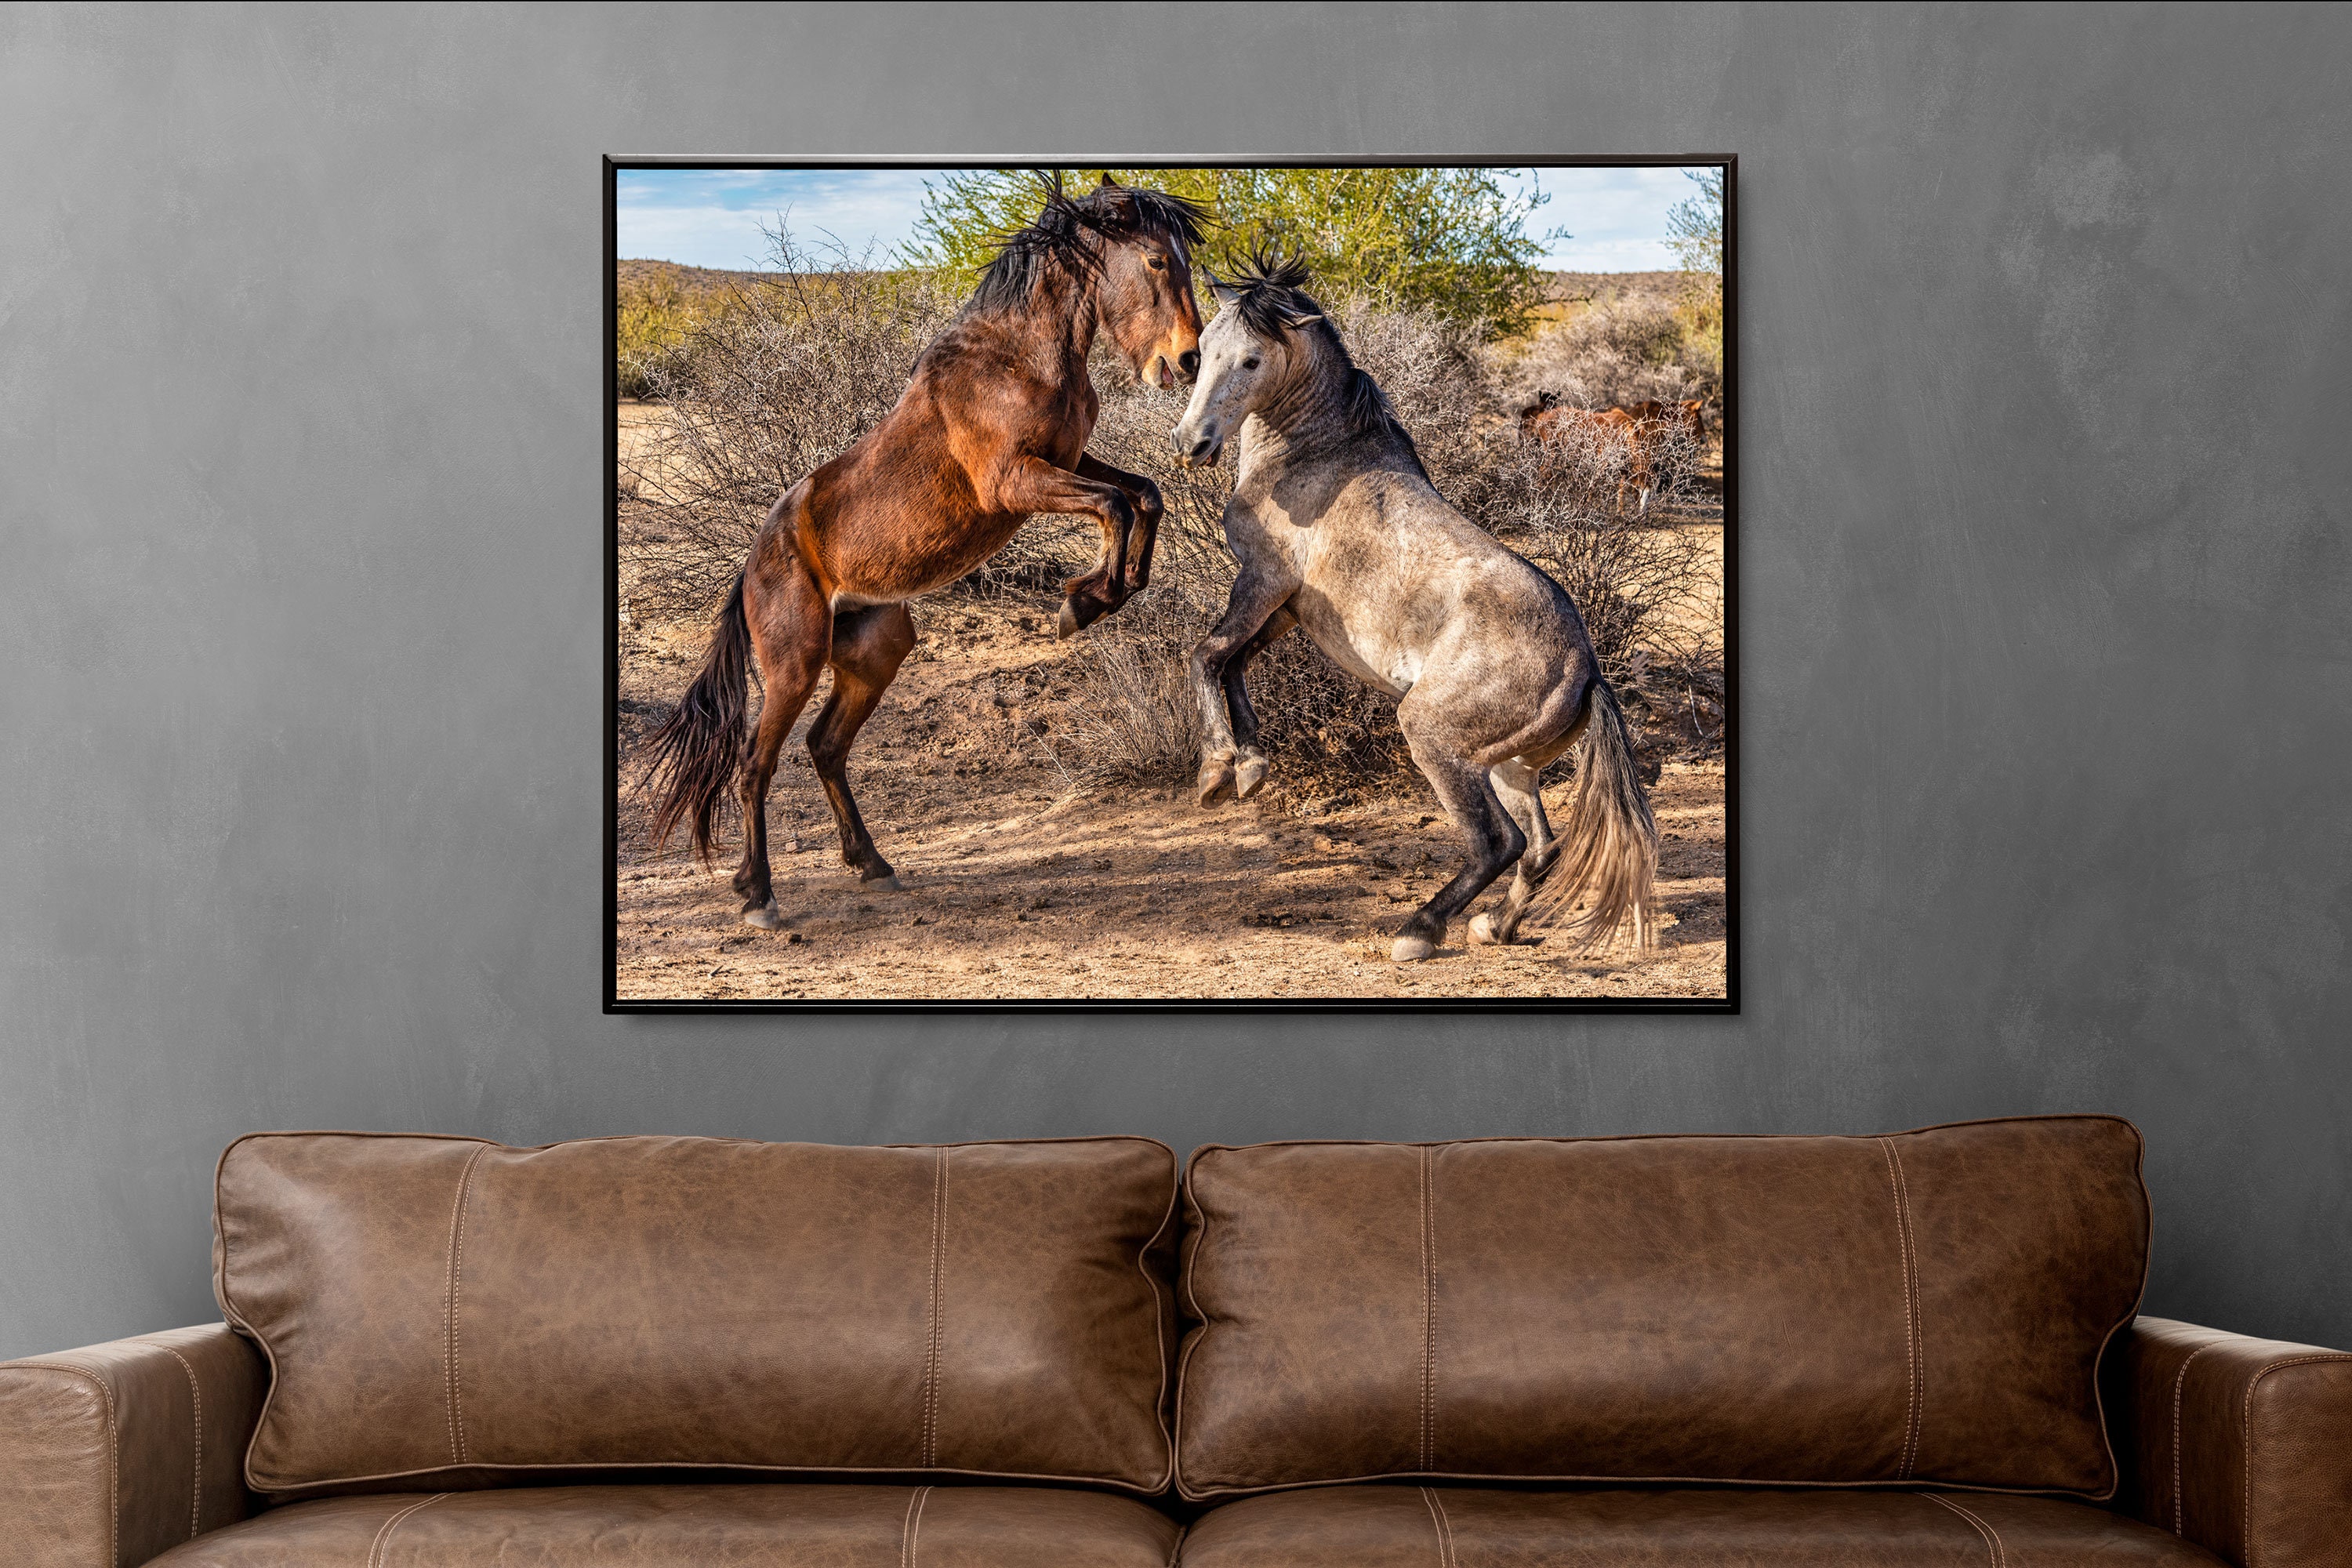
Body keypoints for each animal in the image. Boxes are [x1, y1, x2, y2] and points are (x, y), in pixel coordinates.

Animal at [643, 175, 1210, 929]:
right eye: (1154, 259)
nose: (1189, 360)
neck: (1017, 357)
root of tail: (749, 570)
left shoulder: (1068, 460)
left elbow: (1145, 496)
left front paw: (1095, 598)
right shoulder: (1014, 482)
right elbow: (1119, 506)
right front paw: (1083, 603)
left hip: (877, 651)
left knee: (826, 747)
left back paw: (872, 865)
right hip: (794, 665)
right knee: (755, 764)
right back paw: (758, 895)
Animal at [1174, 253, 1657, 963]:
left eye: (1252, 360)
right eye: (1203, 348)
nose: (1191, 443)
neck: (1316, 455)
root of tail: (1587, 673)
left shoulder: (1262, 581)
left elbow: (1206, 655)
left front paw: (1216, 770)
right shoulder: (1288, 609)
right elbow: (1235, 662)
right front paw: (1252, 768)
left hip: (1433, 738)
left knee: (1499, 842)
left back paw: (1418, 931)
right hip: (1510, 766)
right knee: (1542, 848)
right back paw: (1495, 928)